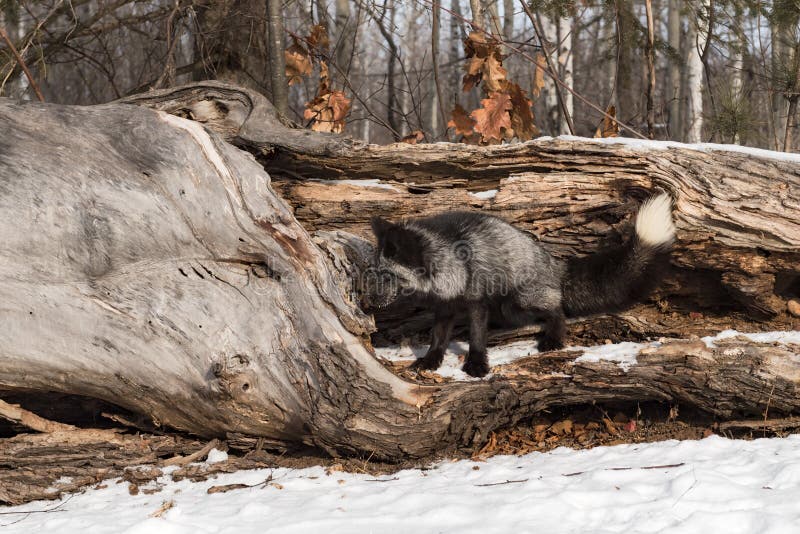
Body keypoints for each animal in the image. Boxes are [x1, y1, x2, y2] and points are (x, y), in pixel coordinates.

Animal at [365, 193, 676, 378]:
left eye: (387, 276)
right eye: (375, 272)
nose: (368, 302)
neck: (455, 264)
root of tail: (554, 264)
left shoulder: (476, 303)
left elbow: (476, 336)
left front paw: (476, 365)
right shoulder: (445, 307)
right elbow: (438, 337)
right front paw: (431, 360)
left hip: (522, 298)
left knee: (557, 309)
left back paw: (553, 338)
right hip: (511, 308)